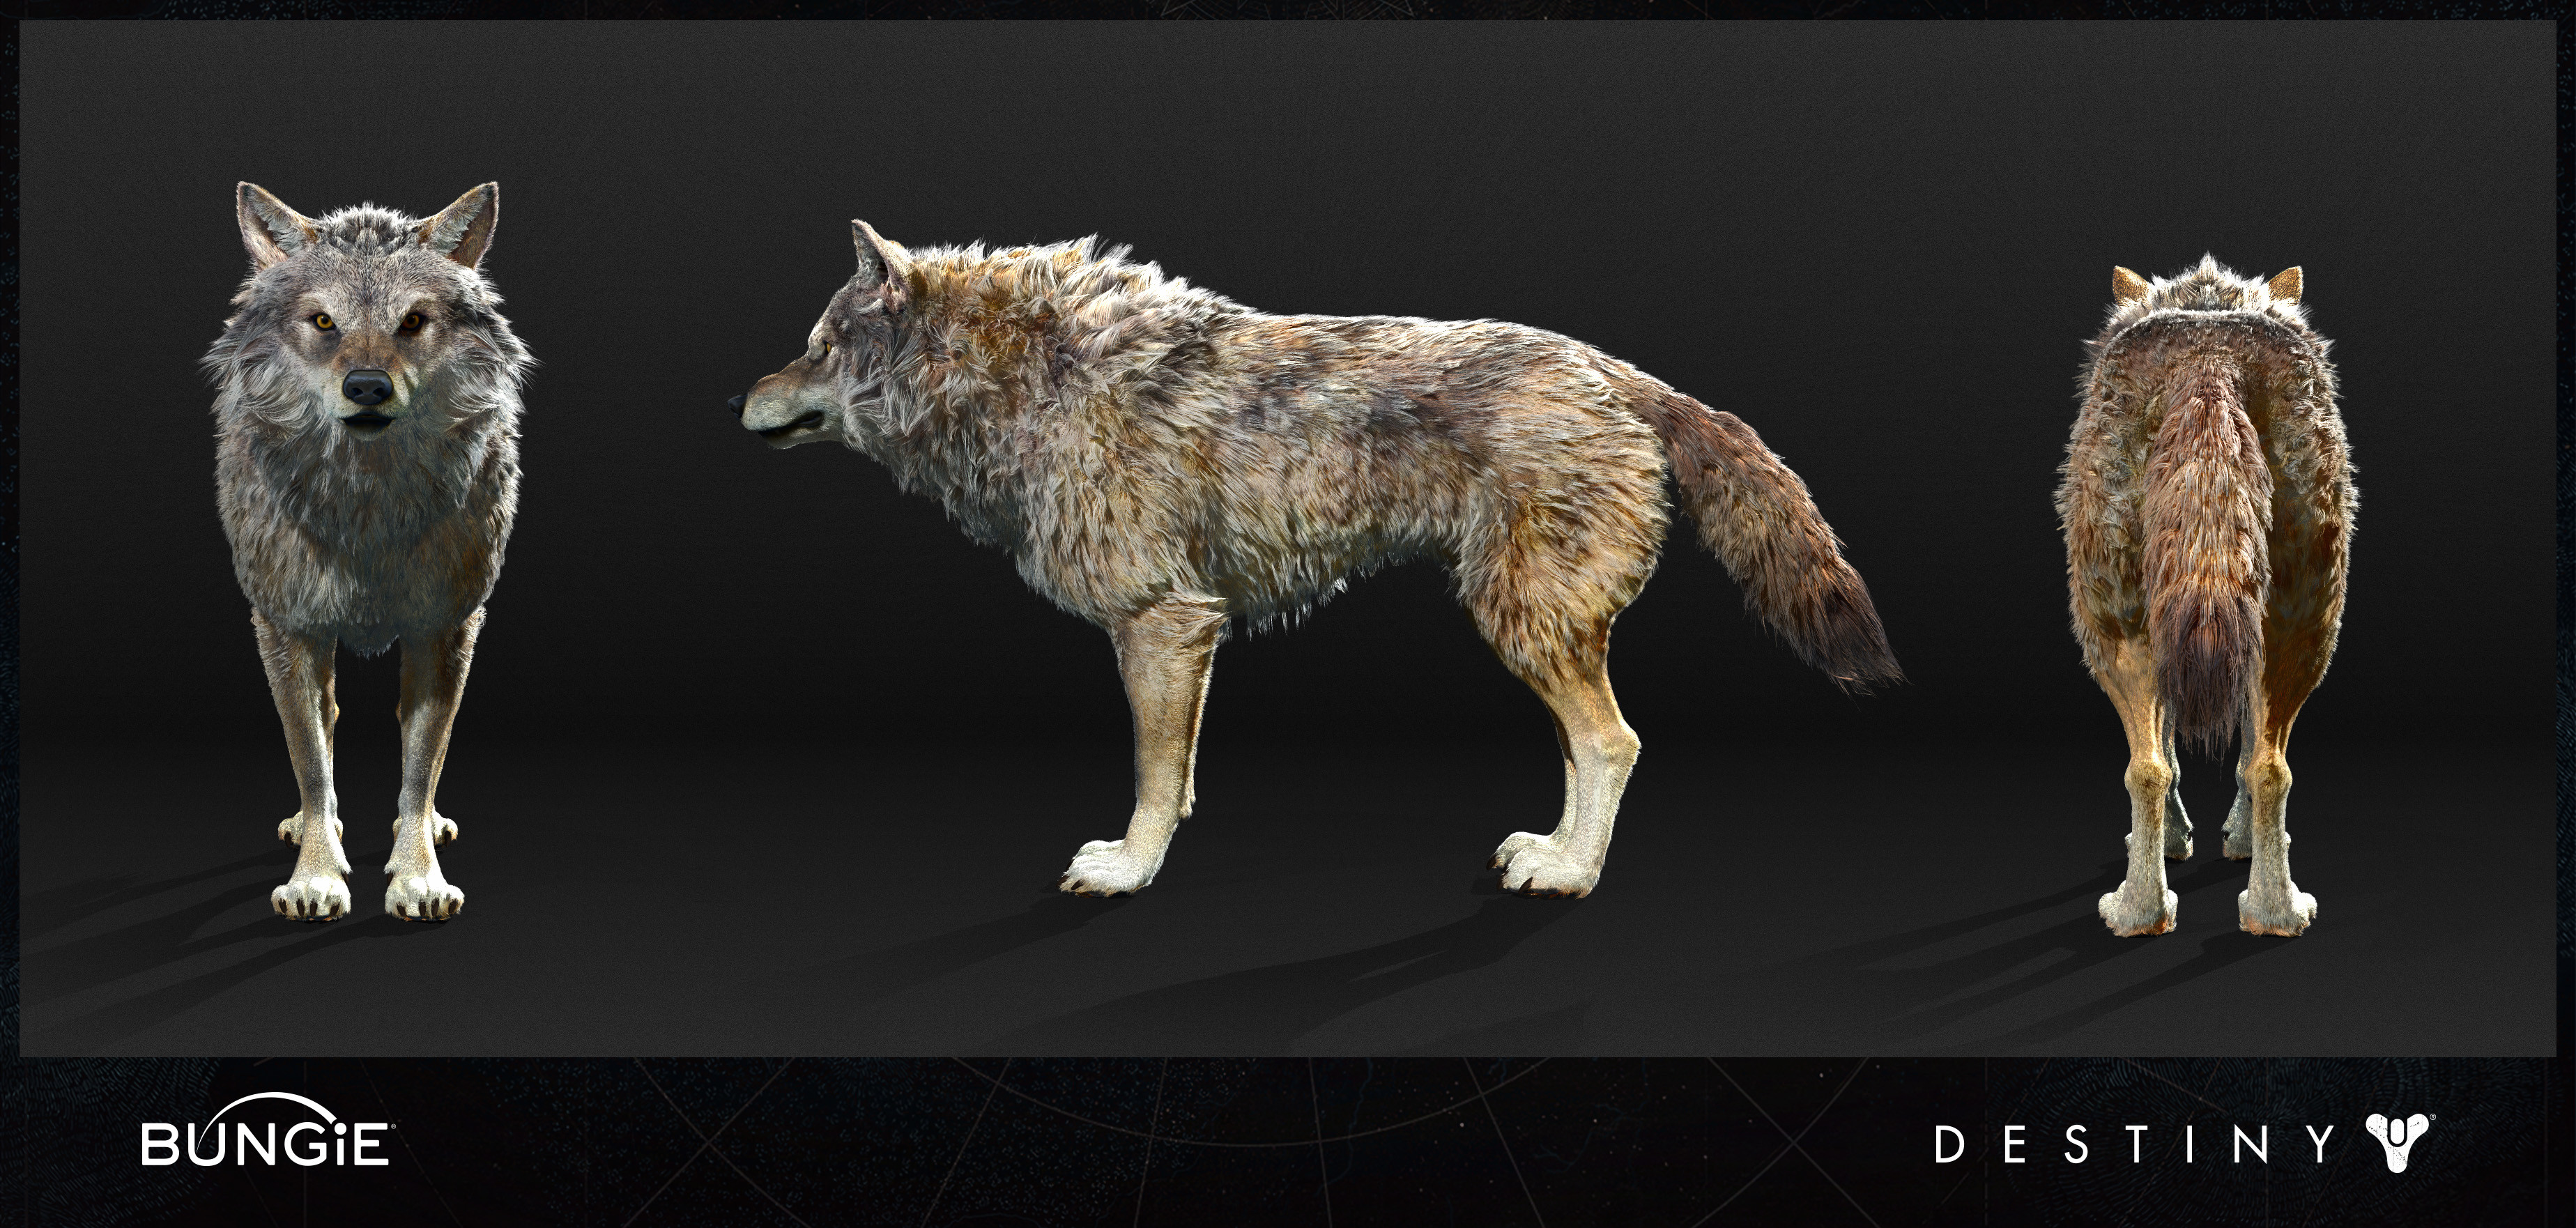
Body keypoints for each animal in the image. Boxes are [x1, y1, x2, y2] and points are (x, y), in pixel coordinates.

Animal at [203, 182, 530, 922]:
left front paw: (419, 877)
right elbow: (311, 759)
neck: (367, 509)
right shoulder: (286, 627)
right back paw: (307, 826)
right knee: (325, 723)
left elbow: (421, 763)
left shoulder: (447, 627)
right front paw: (317, 877)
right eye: (324, 322)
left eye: (413, 322)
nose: (368, 387)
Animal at [732, 222, 1901, 898]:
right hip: (1535, 625)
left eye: (819, 346)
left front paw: (1130, 867)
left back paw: (1569, 872)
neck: (1034, 381)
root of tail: (1622, 374)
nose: (739, 400)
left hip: (1519, 619)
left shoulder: (1161, 619)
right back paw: (1550, 851)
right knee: (1588, 748)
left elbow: (1149, 771)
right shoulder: (1191, 631)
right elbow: (1179, 765)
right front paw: (1165, 838)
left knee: (1614, 742)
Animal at [2056, 256, 2353, 937]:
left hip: (2109, 622)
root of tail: (2211, 363)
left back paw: (2139, 909)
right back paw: (2275, 912)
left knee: (2148, 768)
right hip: (2302, 618)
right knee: (2268, 768)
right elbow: (2242, 752)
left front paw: (2178, 840)